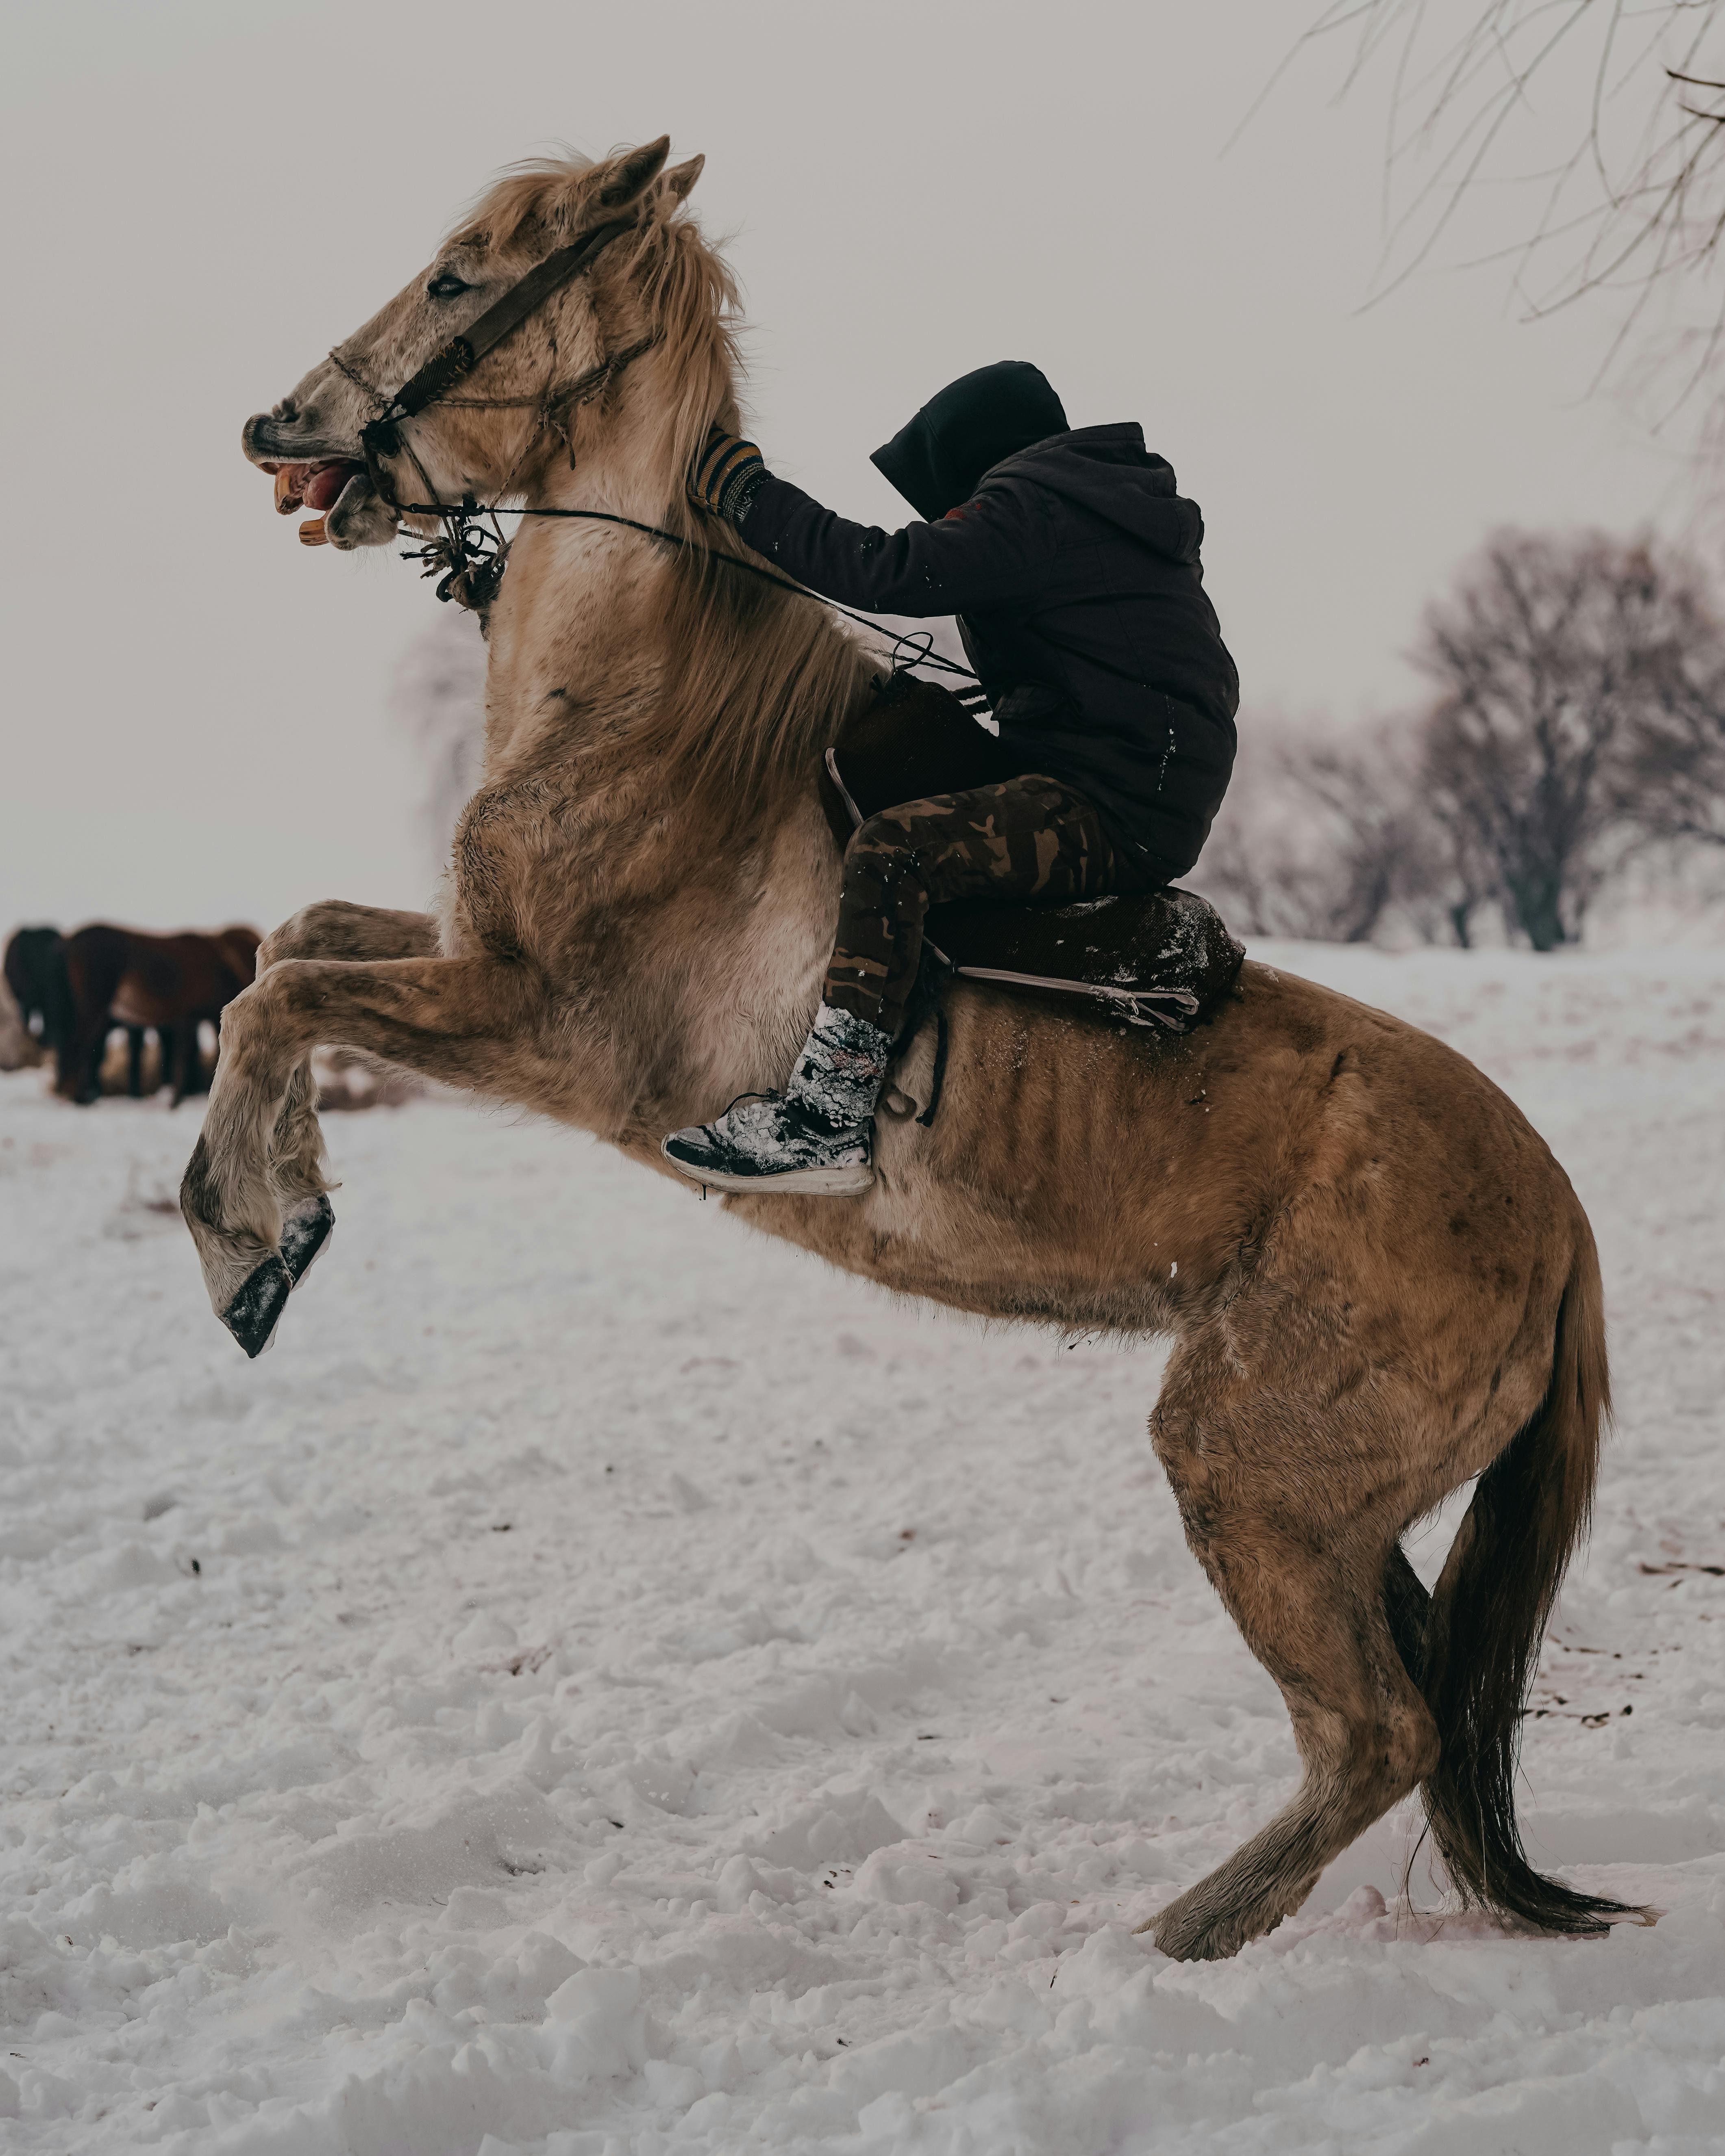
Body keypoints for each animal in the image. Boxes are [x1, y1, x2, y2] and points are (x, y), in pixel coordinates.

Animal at [64, 924, 260, 1107]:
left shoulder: (193, 1020)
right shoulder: (187, 1018)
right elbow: (181, 1061)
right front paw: (175, 1102)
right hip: (94, 1007)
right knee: (78, 1047)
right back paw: (79, 1099)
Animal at [181, 137, 1637, 1962]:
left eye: (456, 277)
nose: (279, 431)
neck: (650, 731)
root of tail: (1558, 1218)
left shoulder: (547, 1034)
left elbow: (277, 998)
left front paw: (253, 1249)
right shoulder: (466, 964)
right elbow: (290, 947)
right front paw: (271, 1216)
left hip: (1252, 1472)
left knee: (1373, 1730)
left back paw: (1170, 1942)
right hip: (1341, 1504)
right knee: (1421, 1710)